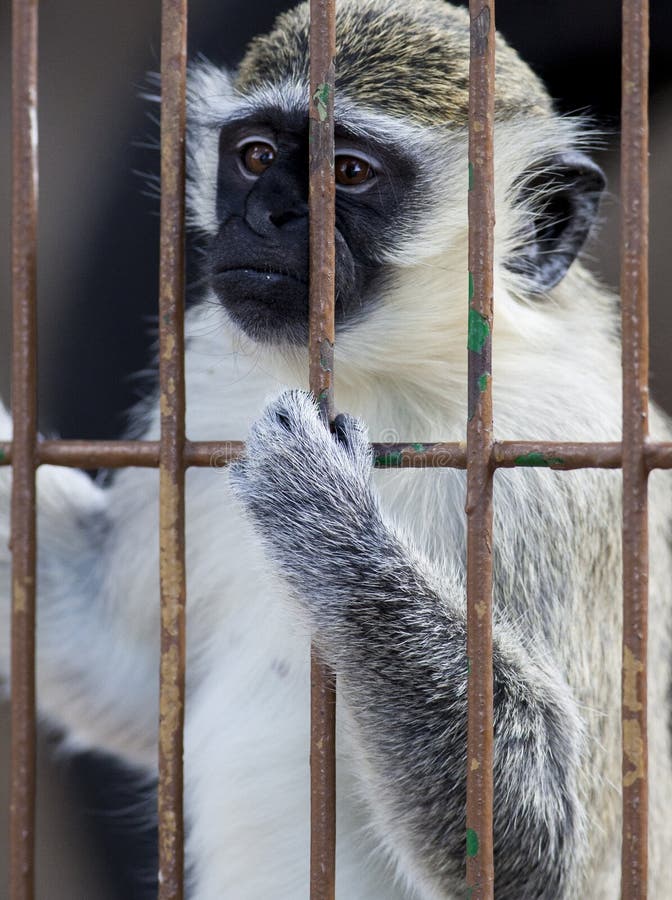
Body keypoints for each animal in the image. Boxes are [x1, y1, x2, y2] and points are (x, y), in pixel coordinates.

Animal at [1, 0, 671, 897]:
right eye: (254, 157)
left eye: (348, 173)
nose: (264, 216)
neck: (379, 377)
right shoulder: (206, 390)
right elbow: (114, 660)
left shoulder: (563, 459)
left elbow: (545, 853)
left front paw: (323, 513)